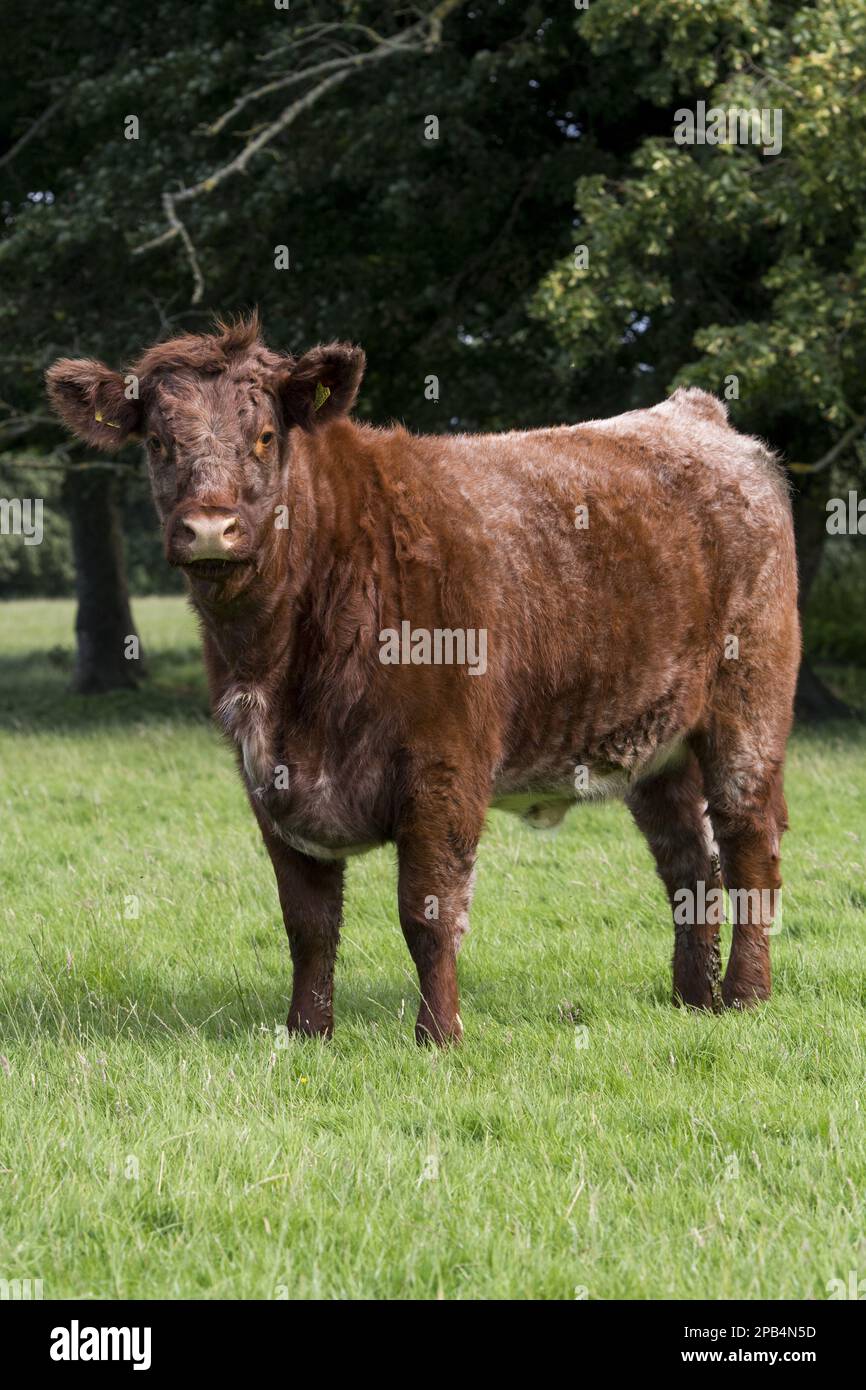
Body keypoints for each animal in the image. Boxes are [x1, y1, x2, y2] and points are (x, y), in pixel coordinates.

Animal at [47, 314, 800, 1044]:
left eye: (264, 436)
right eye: (157, 443)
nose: (209, 528)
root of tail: (693, 415)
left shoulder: (445, 767)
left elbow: (428, 915)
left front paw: (439, 1035)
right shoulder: (268, 781)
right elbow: (308, 921)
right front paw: (306, 1033)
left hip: (748, 709)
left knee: (748, 844)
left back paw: (746, 995)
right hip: (656, 741)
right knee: (689, 861)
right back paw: (692, 999)